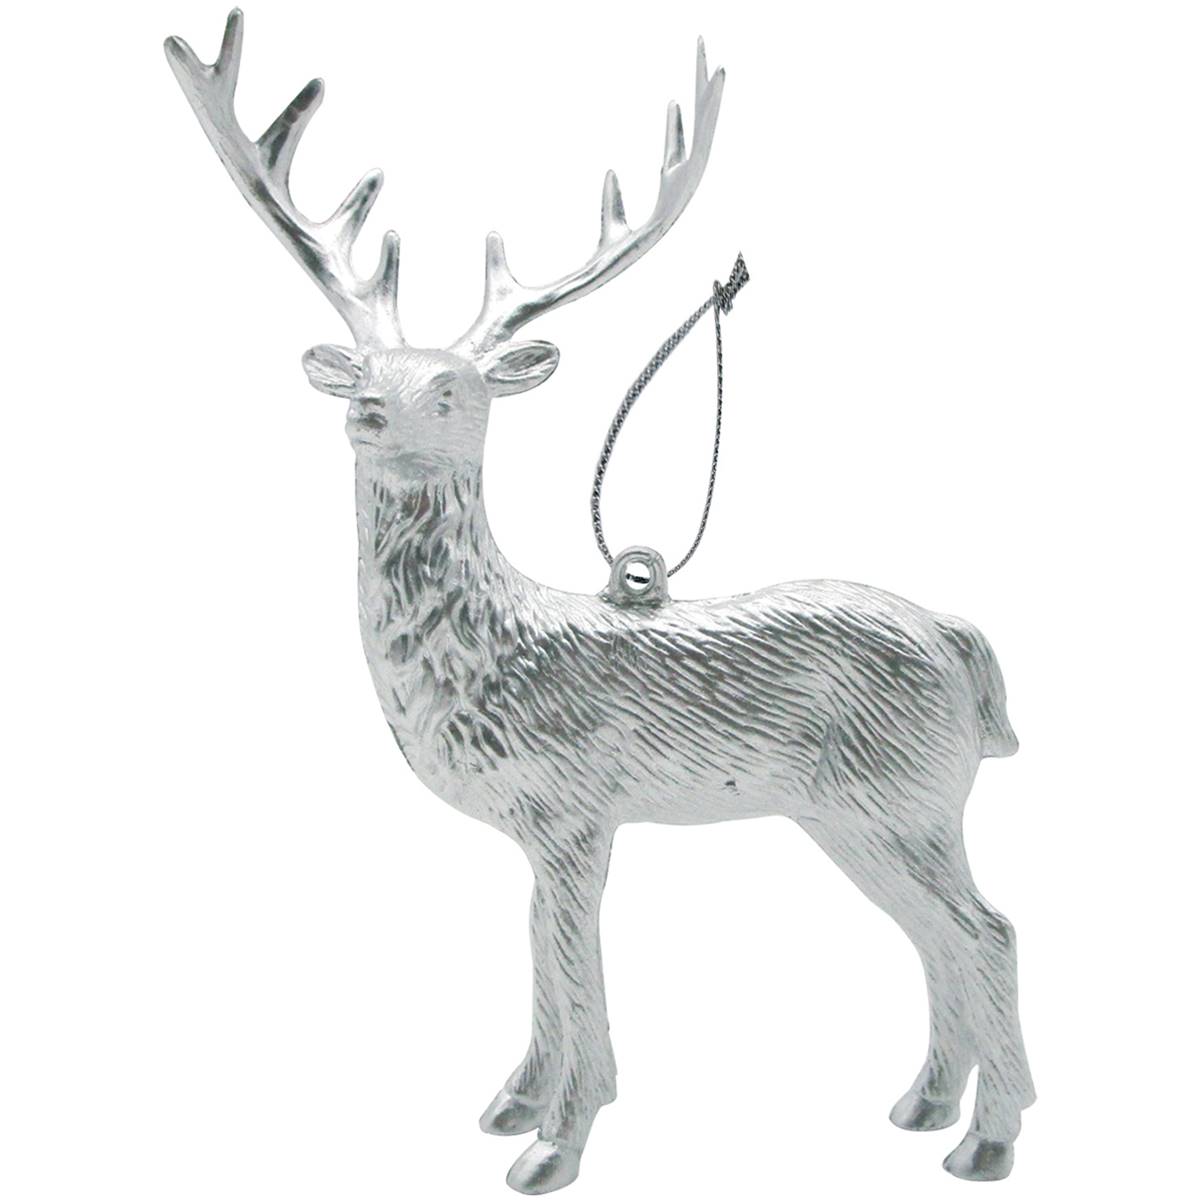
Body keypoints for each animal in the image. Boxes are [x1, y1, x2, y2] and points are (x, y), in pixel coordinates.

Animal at [165, 11, 1035, 1193]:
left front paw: (556, 1143)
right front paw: (516, 1101)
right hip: (861, 812)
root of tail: (957, 635)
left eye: (454, 389)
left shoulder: (576, 806)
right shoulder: (539, 827)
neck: (491, 647)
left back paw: (990, 1138)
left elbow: (576, 960)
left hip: (903, 796)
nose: (371, 416)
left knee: (988, 930)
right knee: (939, 934)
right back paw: (925, 1105)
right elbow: (539, 947)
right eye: (367, 375)